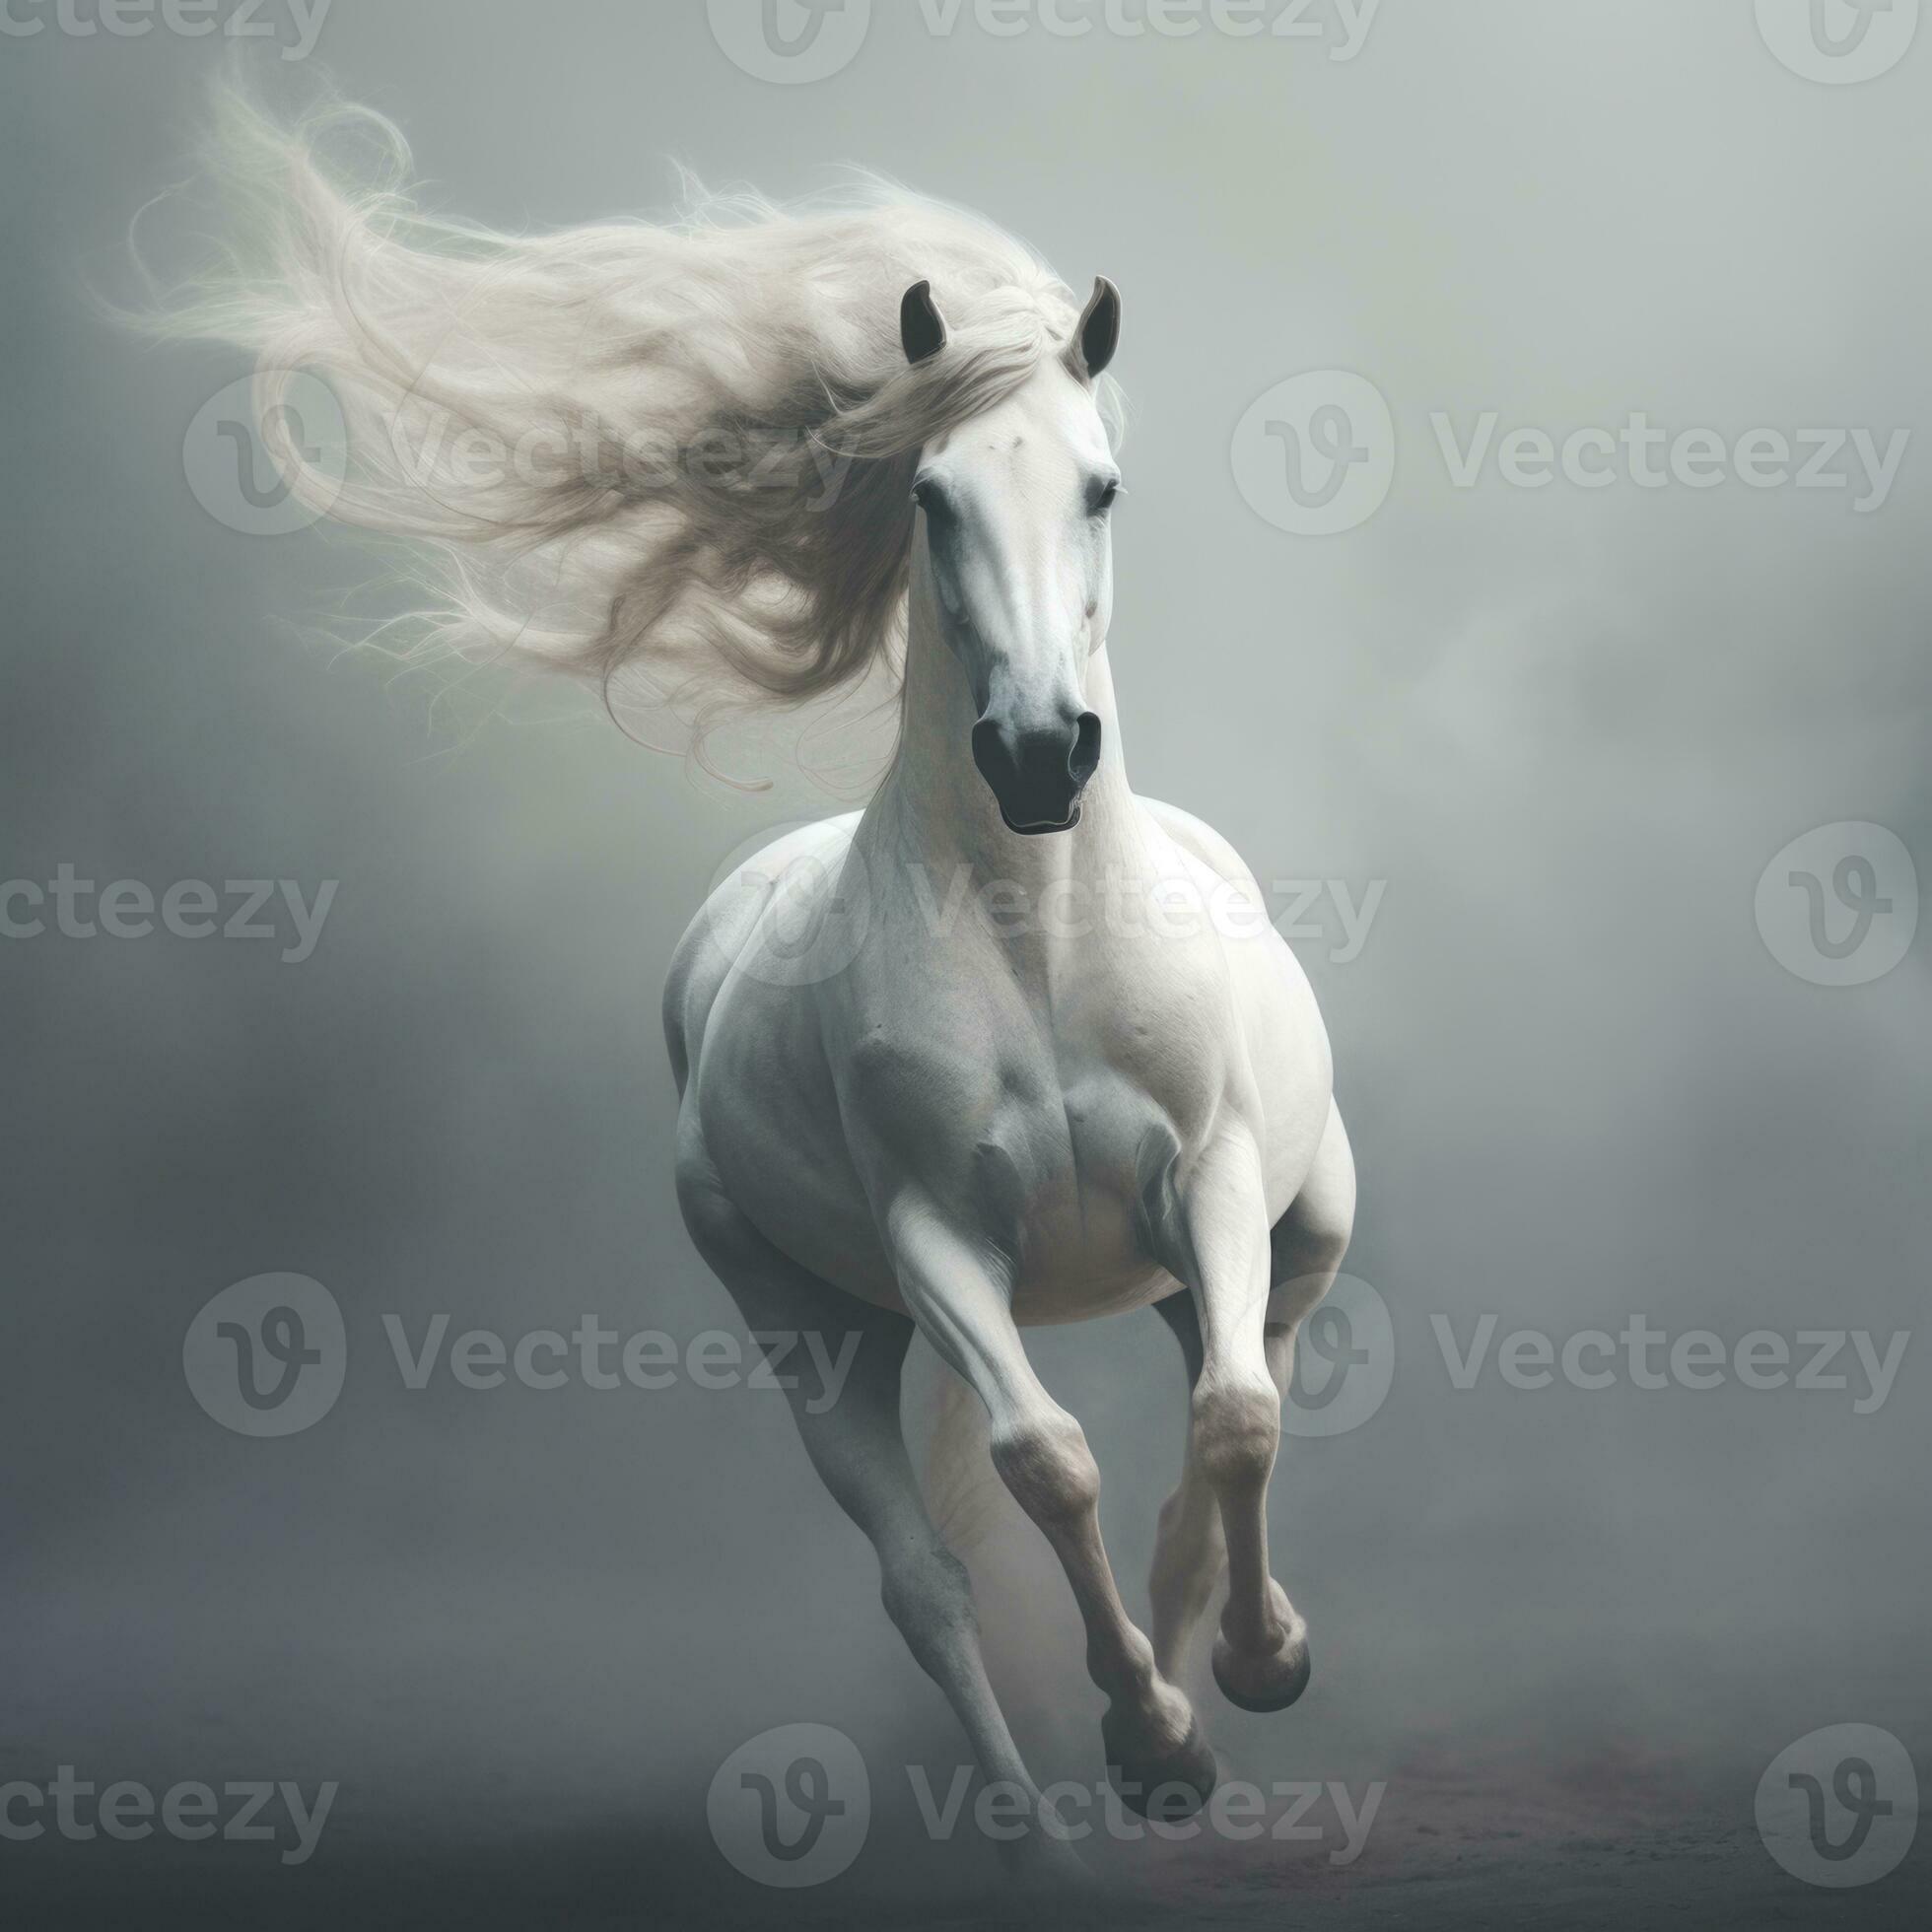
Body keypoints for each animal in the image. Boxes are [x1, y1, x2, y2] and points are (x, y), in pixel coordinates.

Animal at [144, 87, 1355, 1873]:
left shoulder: (1205, 1179)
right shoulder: (935, 1243)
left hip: (1295, 1222)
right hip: (811, 1336)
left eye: (1103, 488)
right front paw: (1152, 1735)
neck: (1037, 939)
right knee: (926, 1584)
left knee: (1238, 1371)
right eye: (929, 496)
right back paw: (1043, 1832)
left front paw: (1251, 1674)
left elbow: (1237, 1419)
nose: (1041, 753)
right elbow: (1044, 1464)